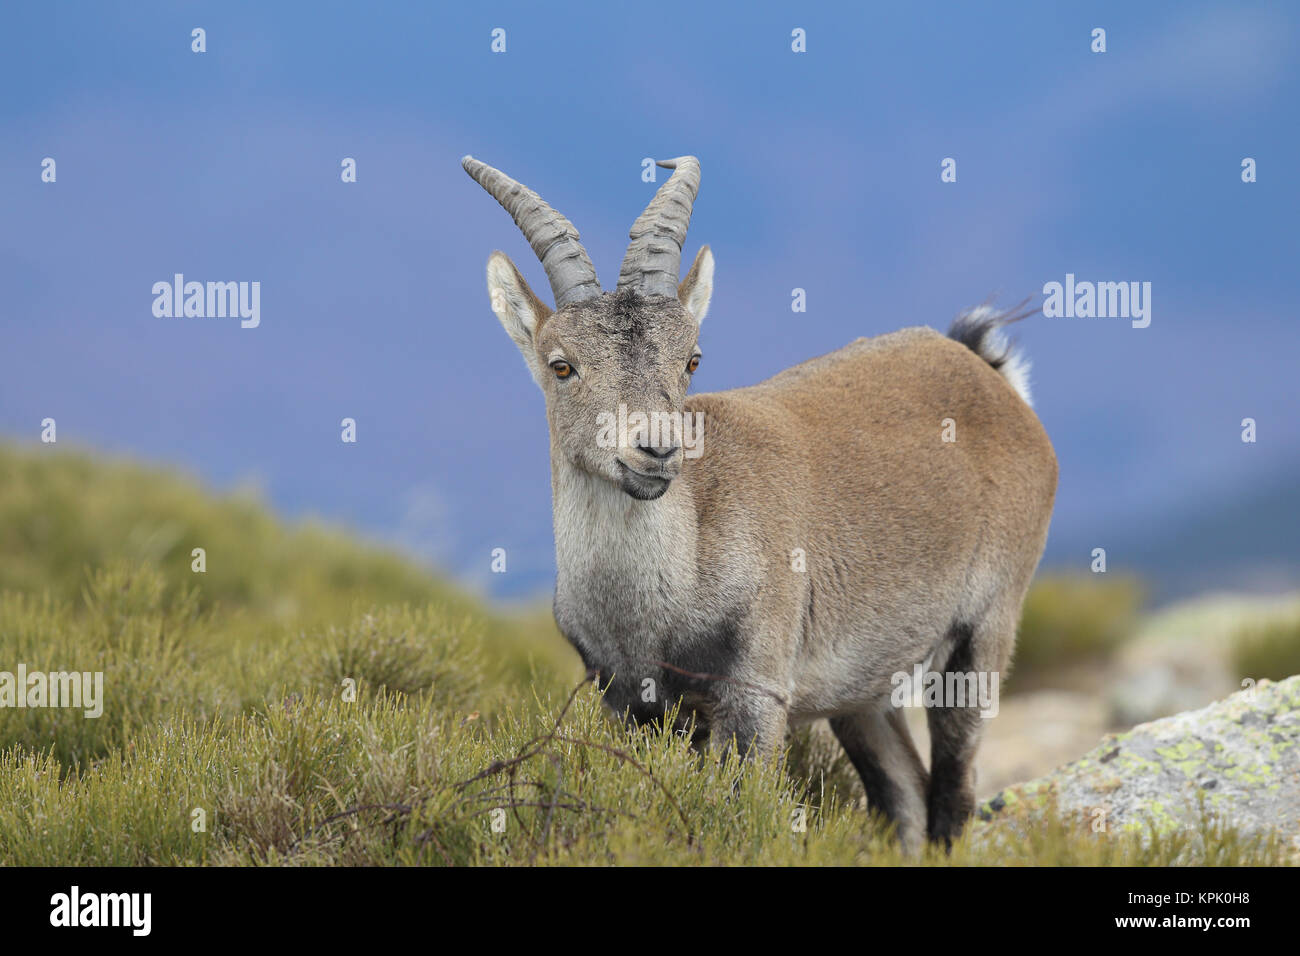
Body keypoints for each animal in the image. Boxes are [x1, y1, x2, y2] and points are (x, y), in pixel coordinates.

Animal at [463, 154, 1057, 850]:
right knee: (904, 792)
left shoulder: (757, 692)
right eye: (562, 365)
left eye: (692, 359)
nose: (657, 449)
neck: (661, 600)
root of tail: (990, 374)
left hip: (984, 629)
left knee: (953, 793)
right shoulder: (630, 705)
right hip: (861, 688)